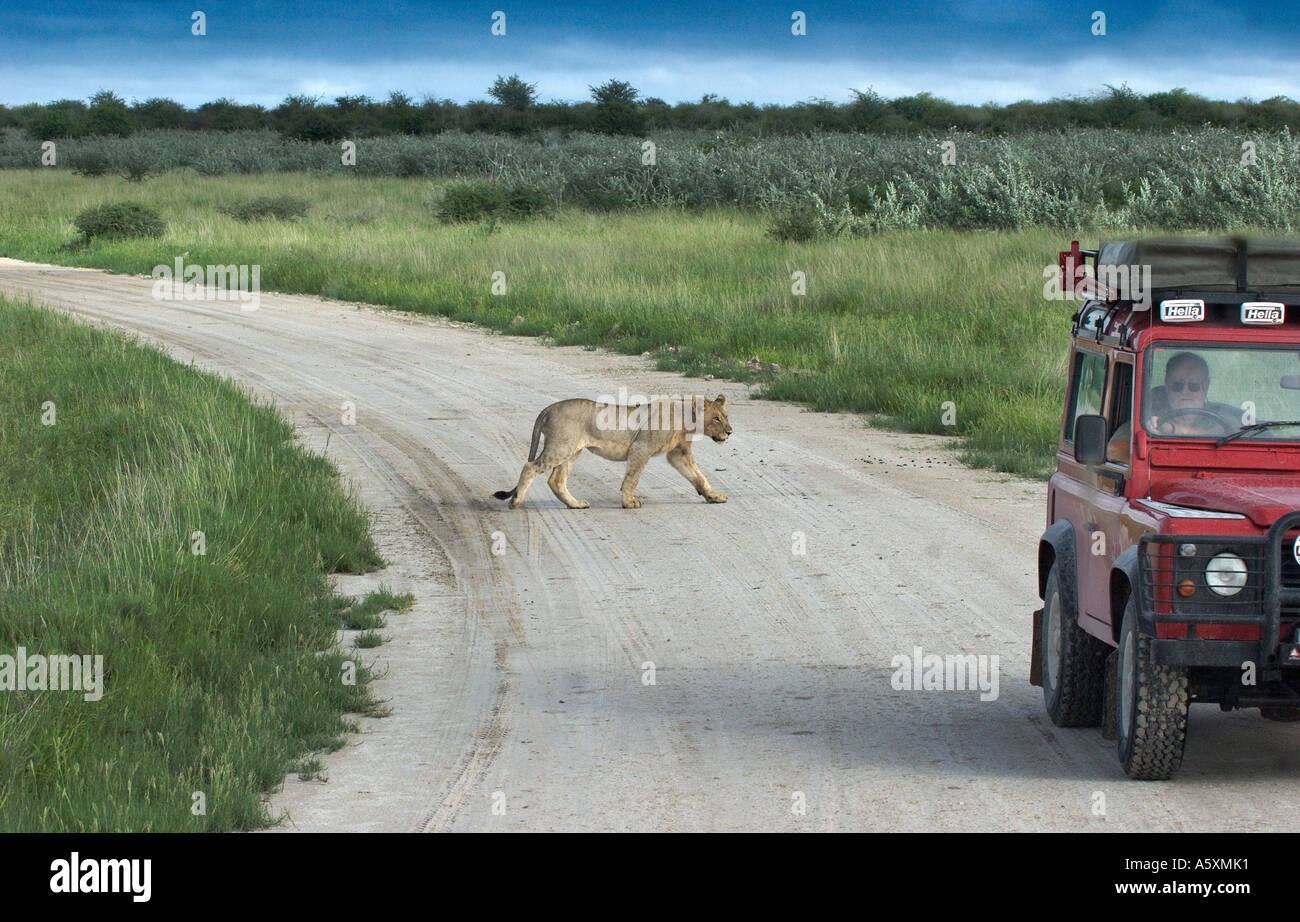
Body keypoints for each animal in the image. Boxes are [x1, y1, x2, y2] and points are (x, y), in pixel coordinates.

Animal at [493, 395, 732, 509]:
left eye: (726, 416)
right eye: (716, 418)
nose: (730, 432)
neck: (686, 418)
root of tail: (549, 408)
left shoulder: (677, 453)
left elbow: (699, 476)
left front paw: (714, 496)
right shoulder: (641, 448)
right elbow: (632, 478)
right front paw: (629, 502)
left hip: (571, 450)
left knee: (556, 481)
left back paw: (576, 505)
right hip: (560, 447)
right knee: (529, 467)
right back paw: (515, 502)